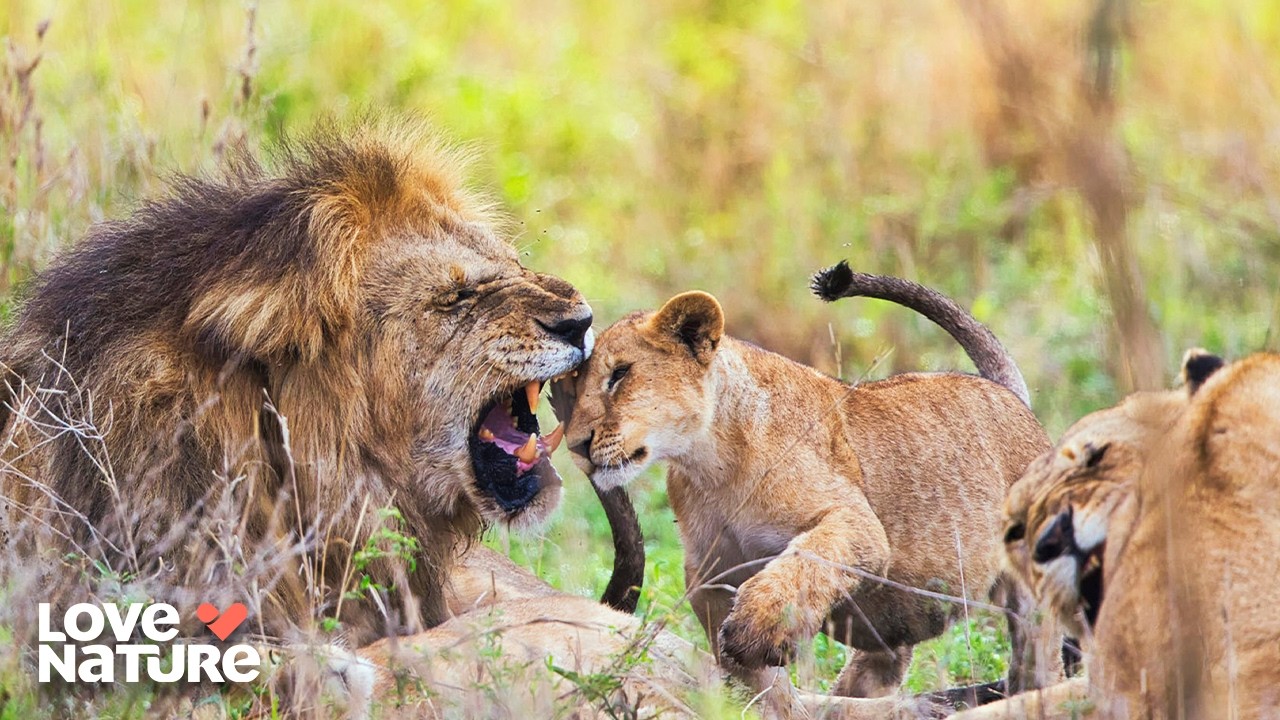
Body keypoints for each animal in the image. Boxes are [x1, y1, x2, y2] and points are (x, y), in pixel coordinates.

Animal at [551, 261, 1054, 711]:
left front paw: (757, 630)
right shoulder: (708, 572)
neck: (710, 464)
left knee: (1038, 659)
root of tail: (1008, 394)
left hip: (1033, 586)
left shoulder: (859, 525)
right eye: (573, 387)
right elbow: (755, 676)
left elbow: (808, 558)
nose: (576, 444)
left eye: (620, 374)